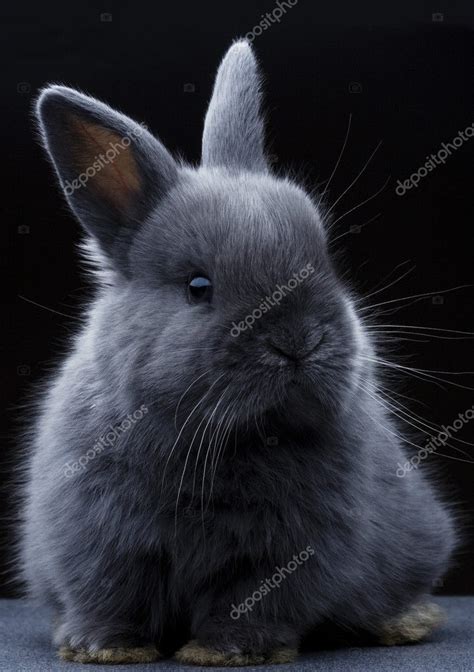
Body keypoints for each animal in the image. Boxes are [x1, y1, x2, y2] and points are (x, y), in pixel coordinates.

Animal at [18, 39, 457, 666]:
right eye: (198, 286)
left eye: (325, 260)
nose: (299, 342)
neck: (232, 437)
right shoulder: (94, 536)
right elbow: (108, 594)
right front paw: (102, 648)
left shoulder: (287, 553)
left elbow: (252, 601)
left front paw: (223, 652)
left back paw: (406, 621)